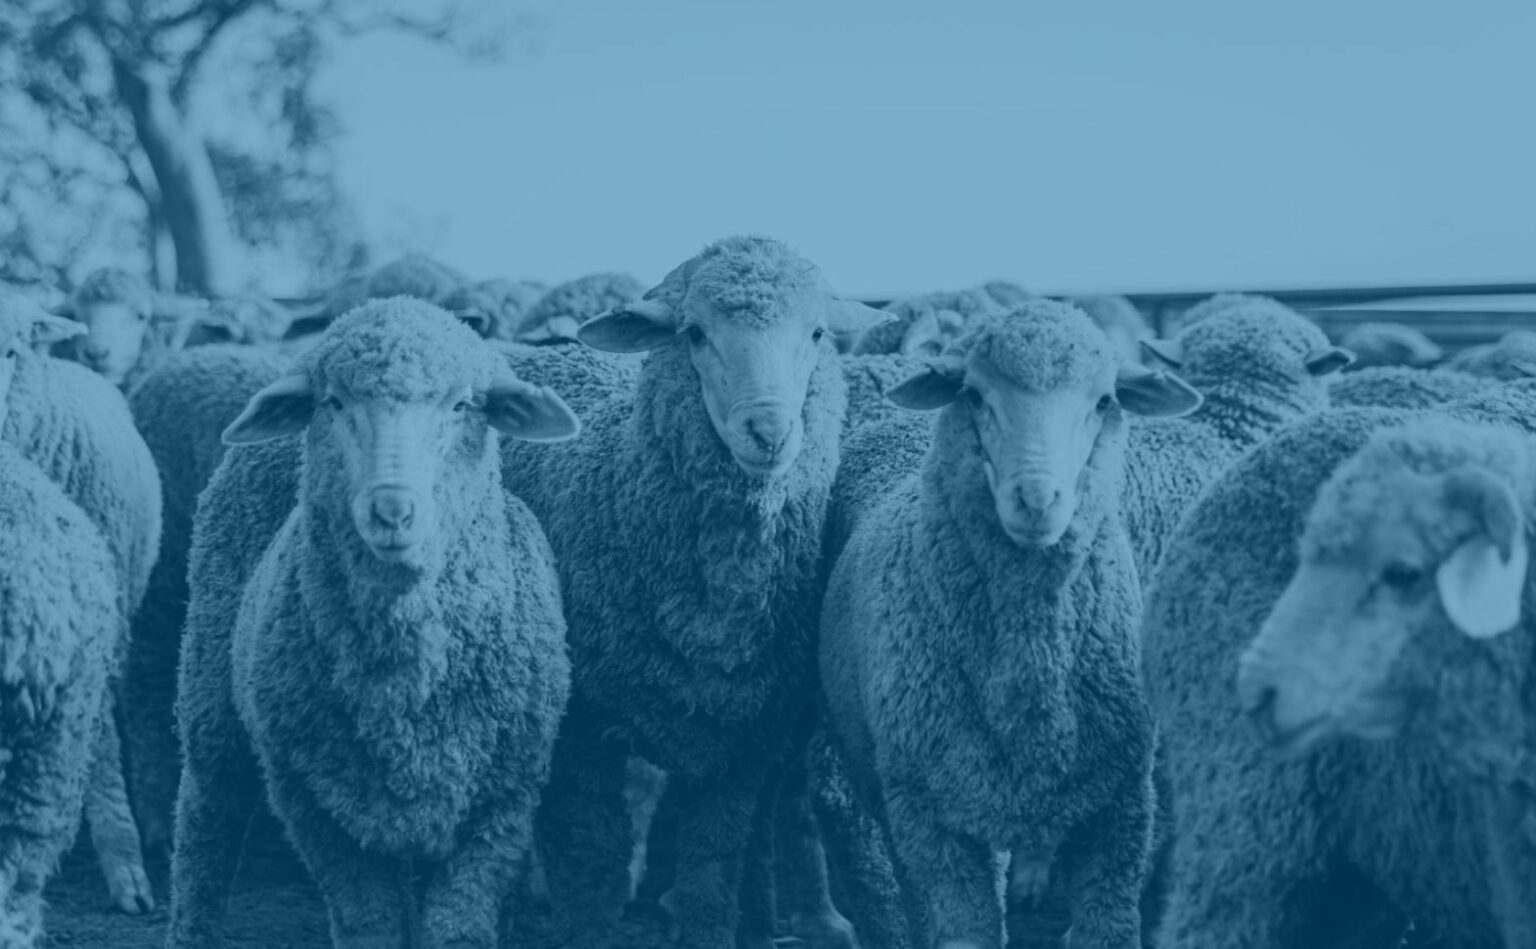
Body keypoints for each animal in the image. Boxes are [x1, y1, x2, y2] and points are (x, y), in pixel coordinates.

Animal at [166, 297, 578, 949]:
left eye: (461, 405)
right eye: (334, 403)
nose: (392, 510)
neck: (402, 681)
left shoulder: (500, 807)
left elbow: (457, 930)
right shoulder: (314, 806)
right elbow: (369, 924)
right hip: (209, 682)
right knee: (208, 819)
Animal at [819, 301, 1202, 949]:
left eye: (1104, 401)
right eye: (974, 394)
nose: (1037, 500)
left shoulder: (1119, 808)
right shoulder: (932, 819)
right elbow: (962, 928)